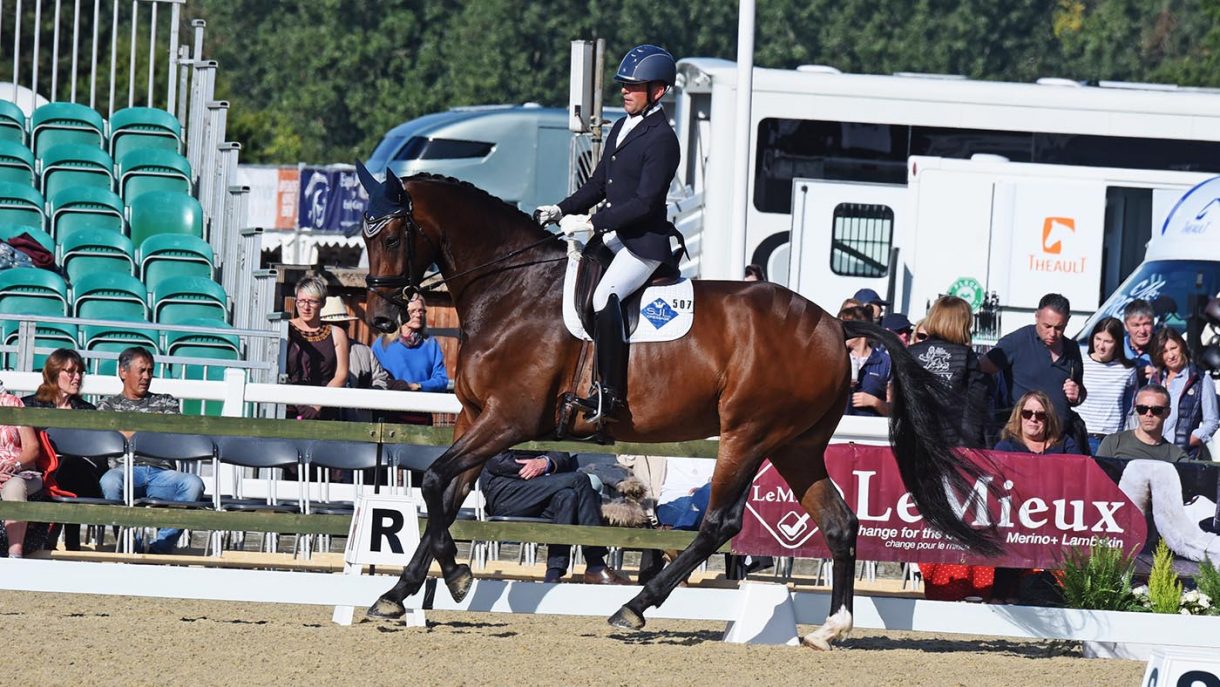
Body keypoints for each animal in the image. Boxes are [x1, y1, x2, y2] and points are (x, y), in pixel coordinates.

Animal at [356, 167, 998, 649]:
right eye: (364, 237)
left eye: (390, 237)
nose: (383, 320)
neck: (514, 292)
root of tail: (835, 326)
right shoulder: (473, 418)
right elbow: (445, 492)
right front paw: (402, 593)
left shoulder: (508, 420)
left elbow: (435, 481)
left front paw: (452, 576)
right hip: (797, 444)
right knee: (838, 521)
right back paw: (830, 629)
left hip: (748, 433)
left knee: (721, 523)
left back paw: (635, 607)